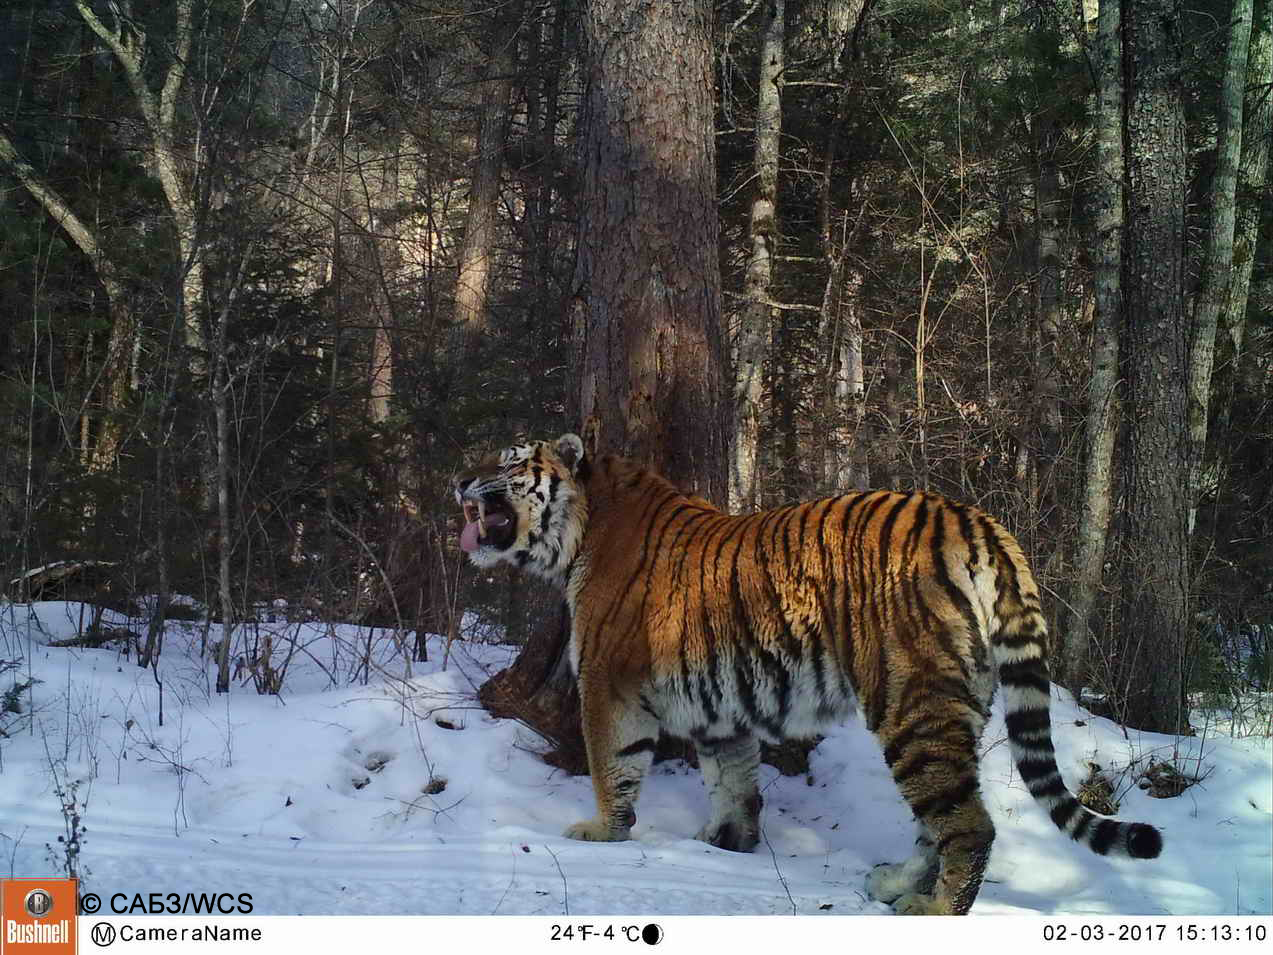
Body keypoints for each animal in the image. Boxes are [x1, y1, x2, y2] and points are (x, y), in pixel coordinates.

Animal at [454, 433, 1162, 915]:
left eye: (509, 462)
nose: (459, 479)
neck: (582, 527)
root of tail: (977, 521)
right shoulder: (716, 702)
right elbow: (733, 779)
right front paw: (727, 843)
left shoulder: (608, 684)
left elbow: (613, 766)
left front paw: (601, 831)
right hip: (964, 700)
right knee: (940, 818)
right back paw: (894, 883)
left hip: (912, 701)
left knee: (967, 824)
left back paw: (932, 909)